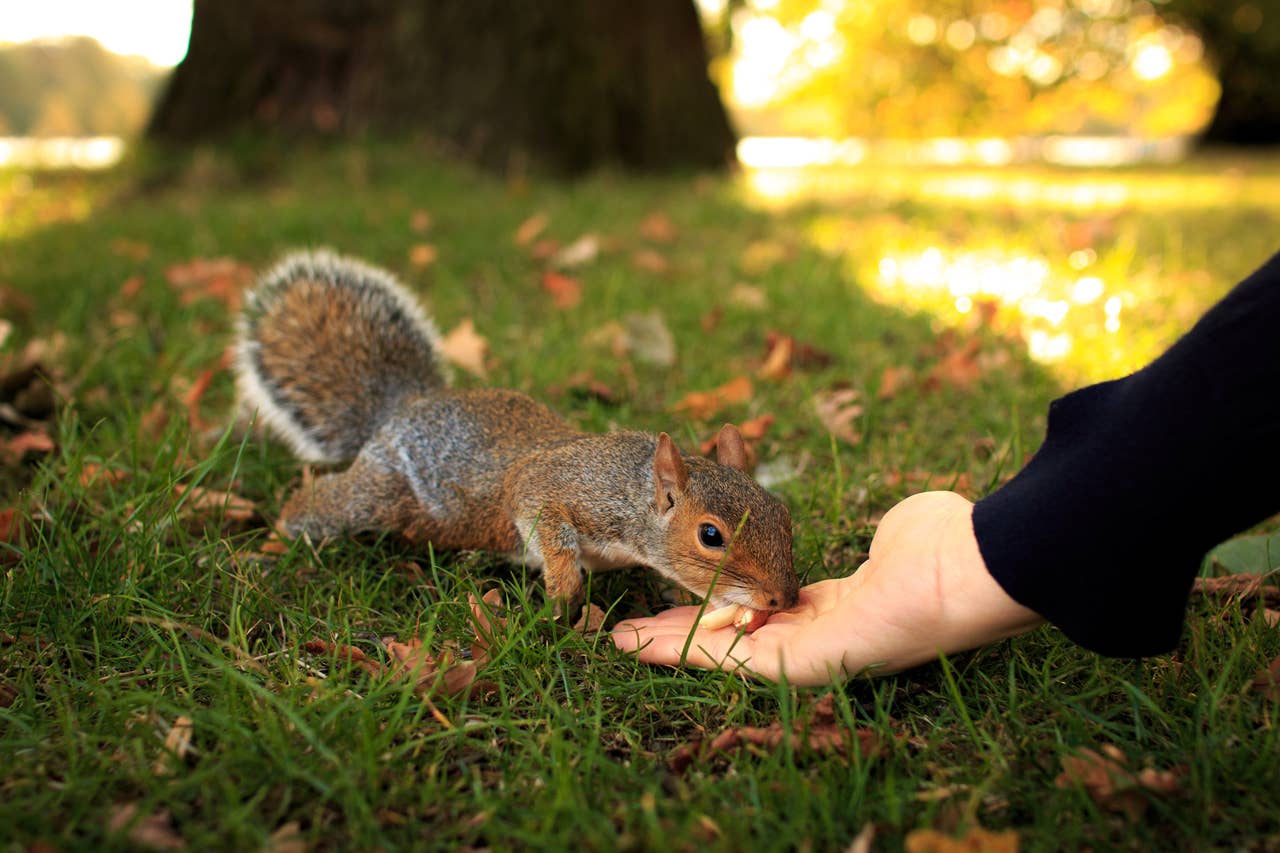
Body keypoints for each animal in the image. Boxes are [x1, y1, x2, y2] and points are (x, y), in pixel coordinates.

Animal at [234, 250, 800, 616]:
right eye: (710, 536)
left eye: (782, 512)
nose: (785, 599)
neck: (631, 493)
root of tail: (406, 406)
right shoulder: (548, 488)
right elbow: (543, 521)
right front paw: (563, 591)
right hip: (381, 493)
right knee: (324, 503)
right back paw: (274, 543)